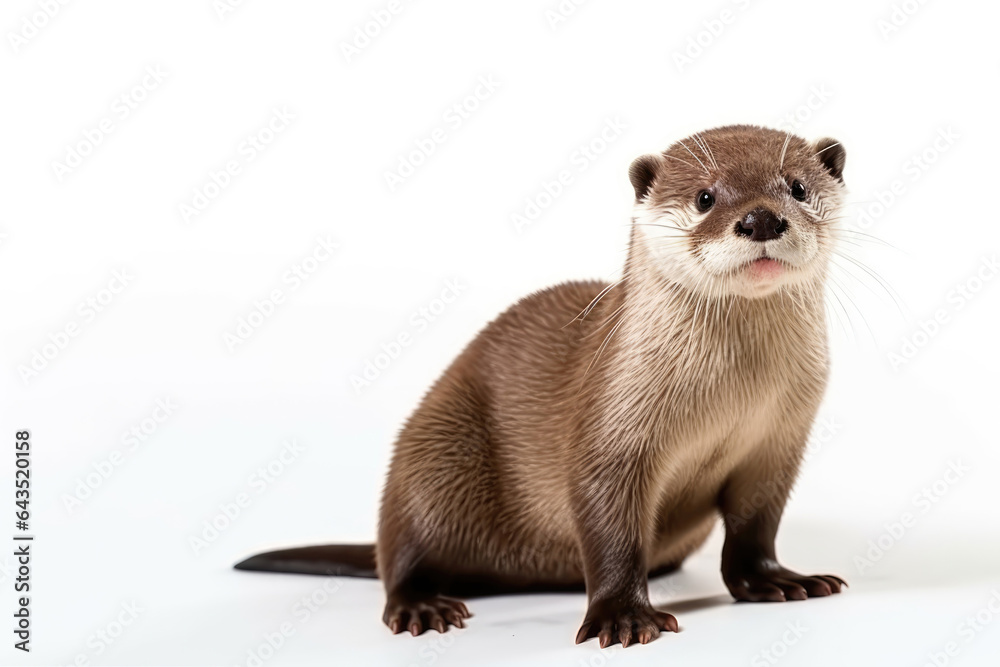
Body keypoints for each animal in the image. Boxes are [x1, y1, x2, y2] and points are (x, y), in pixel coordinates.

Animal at [236, 124, 849, 648]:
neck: (733, 397)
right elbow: (607, 526)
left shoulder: (778, 442)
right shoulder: (610, 421)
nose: (760, 219)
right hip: (431, 452)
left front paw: (777, 581)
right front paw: (623, 614)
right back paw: (422, 605)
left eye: (797, 187)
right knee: (400, 553)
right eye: (704, 197)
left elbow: (755, 528)